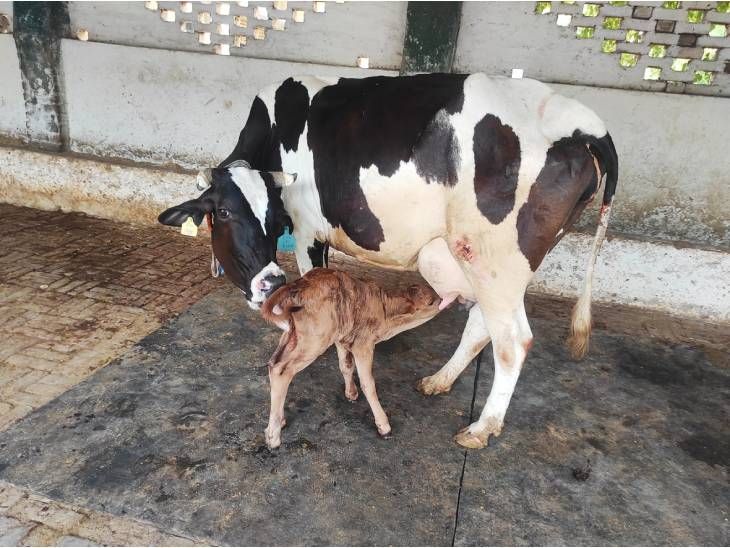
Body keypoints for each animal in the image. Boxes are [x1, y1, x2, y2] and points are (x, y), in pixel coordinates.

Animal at [158, 73, 618, 449]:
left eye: (271, 217)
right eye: (225, 213)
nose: (270, 283)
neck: (275, 127)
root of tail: (586, 124)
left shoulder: (308, 232)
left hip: (494, 255)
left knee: (513, 341)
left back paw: (481, 428)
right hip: (482, 259)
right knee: (482, 323)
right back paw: (439, 381)